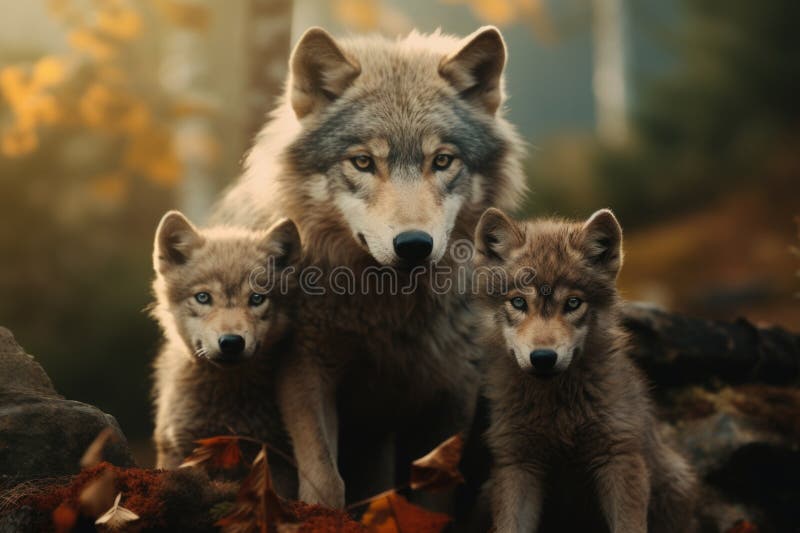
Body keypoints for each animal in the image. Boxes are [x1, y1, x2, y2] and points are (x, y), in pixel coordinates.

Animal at [211, 26, 526, 507]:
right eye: (363, 162)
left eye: (442, 160)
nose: (414, 245)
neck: (387, 312)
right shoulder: (305, 371)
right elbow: (325, 479)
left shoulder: (454, 387)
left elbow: (434, 492)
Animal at [473, 208, 698, 533]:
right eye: (518, 302)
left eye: (573, 303)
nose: (543, 357)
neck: (556, 410)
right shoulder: (516, 463)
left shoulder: (619, 457)